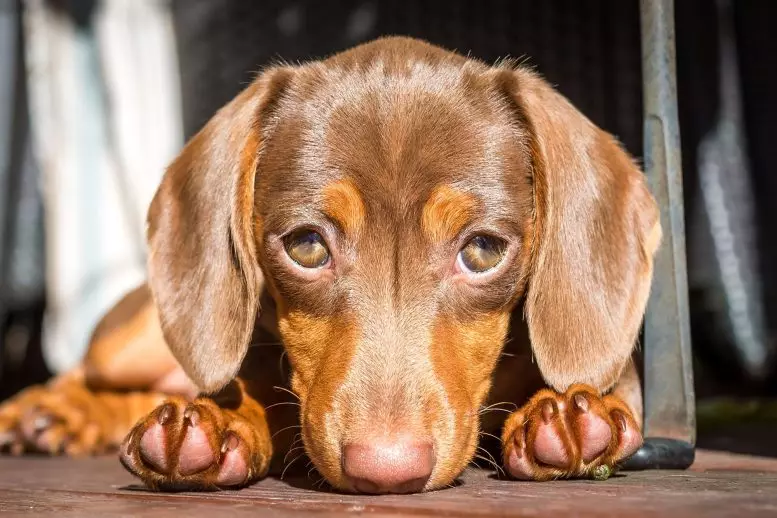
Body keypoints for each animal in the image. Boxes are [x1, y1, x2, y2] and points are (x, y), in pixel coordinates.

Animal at [0, 37, 660, 496]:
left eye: (482, 251)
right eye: (307, 245)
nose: (387, 472)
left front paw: (576, 416)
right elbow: (254, 393)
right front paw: (217, 424)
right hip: (129, 342)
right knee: (83, 372)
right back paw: (45, 412)